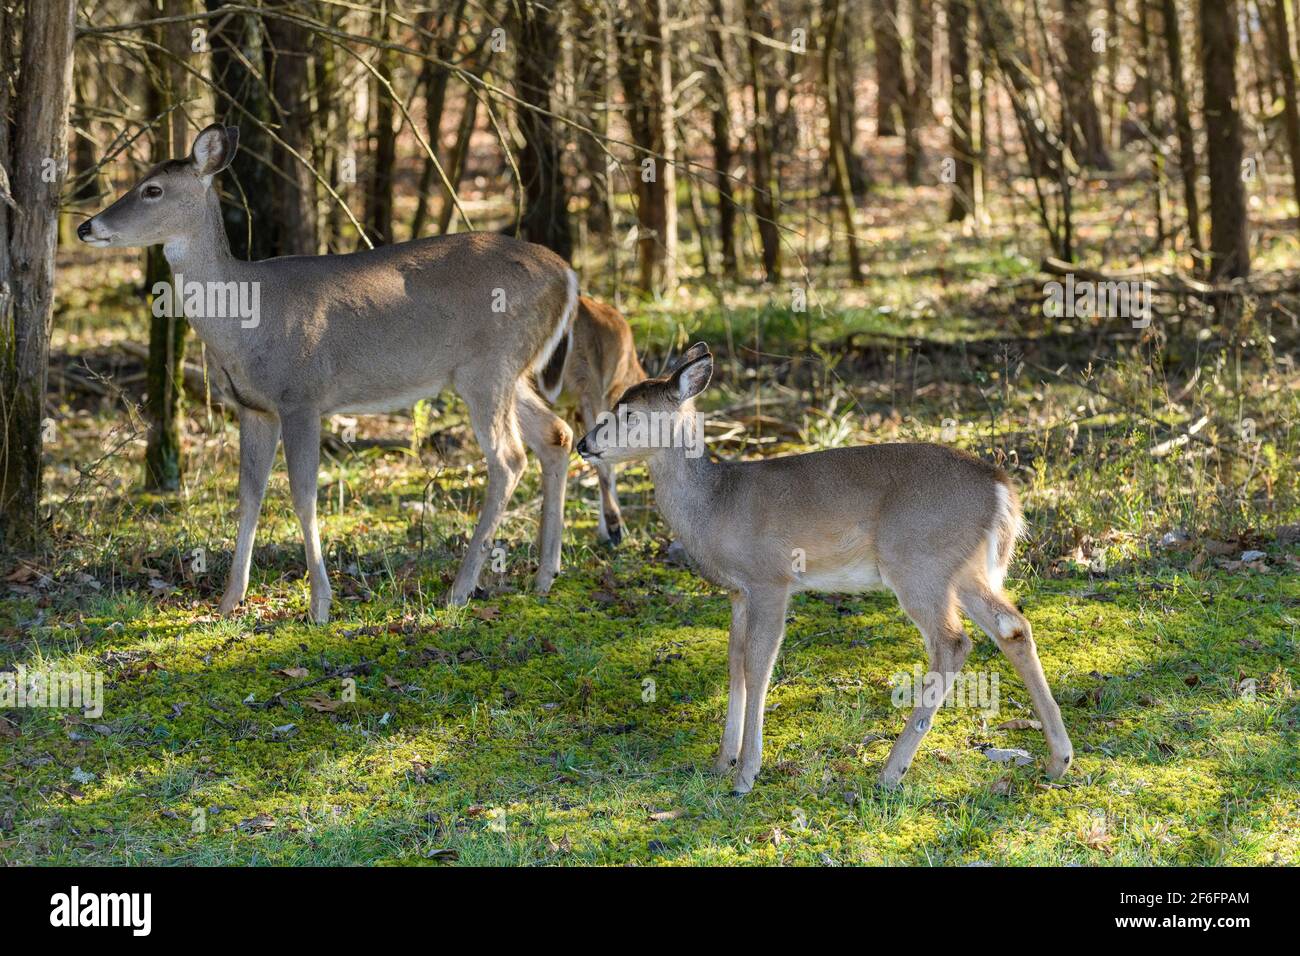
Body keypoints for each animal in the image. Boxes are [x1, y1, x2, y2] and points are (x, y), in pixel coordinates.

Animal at [78, 124, 579, 624]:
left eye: (152, 190)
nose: (87, 226)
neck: (244, 321)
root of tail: (567, 275)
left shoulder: (301, 396)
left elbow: (304, 496)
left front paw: (319, 603)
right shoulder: (254, 408)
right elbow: (249, 496)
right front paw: (229, 600)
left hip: (489, 365)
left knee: (508, 459)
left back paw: (461, 588)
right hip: (506, 371)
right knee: (557, 433)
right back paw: (545, 576)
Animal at [575, 343, 1073, 794]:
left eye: (630, 413)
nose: (583, 443)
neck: (716, 504)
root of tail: (1002, 487)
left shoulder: (770, 578)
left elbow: (758, 666)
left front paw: (746, 774)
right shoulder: (738, 591)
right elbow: (734, 664)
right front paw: (721, 761)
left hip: (918, 560)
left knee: (953, 643)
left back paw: (891, 771)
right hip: (966, 570)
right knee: (1013, 627)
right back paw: (1058, 760)